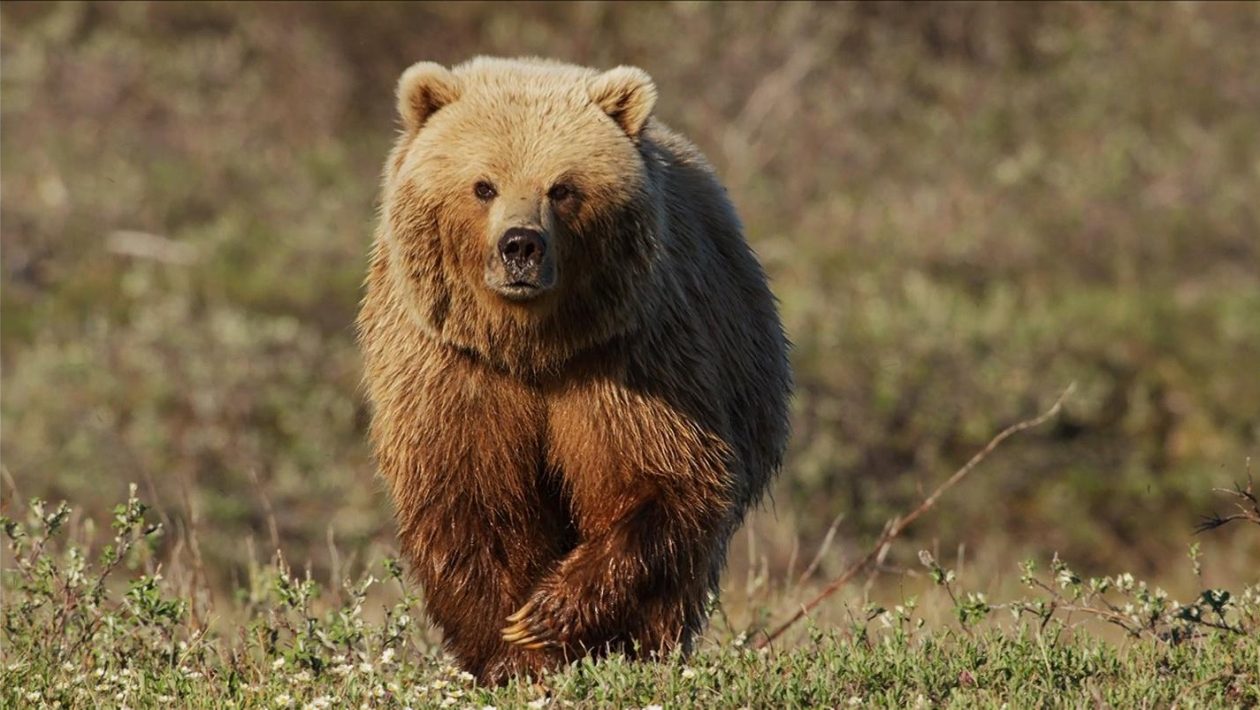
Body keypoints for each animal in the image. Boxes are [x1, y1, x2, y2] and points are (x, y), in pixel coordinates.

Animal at [356, 56, 791, 685]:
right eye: (483, 185)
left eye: (562, 188)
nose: (520, 246)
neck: (531, 348)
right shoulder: (455, 373)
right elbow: (471, 505)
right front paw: (512, 653)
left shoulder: (628, 363)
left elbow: (656, 481)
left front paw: (547, 616)